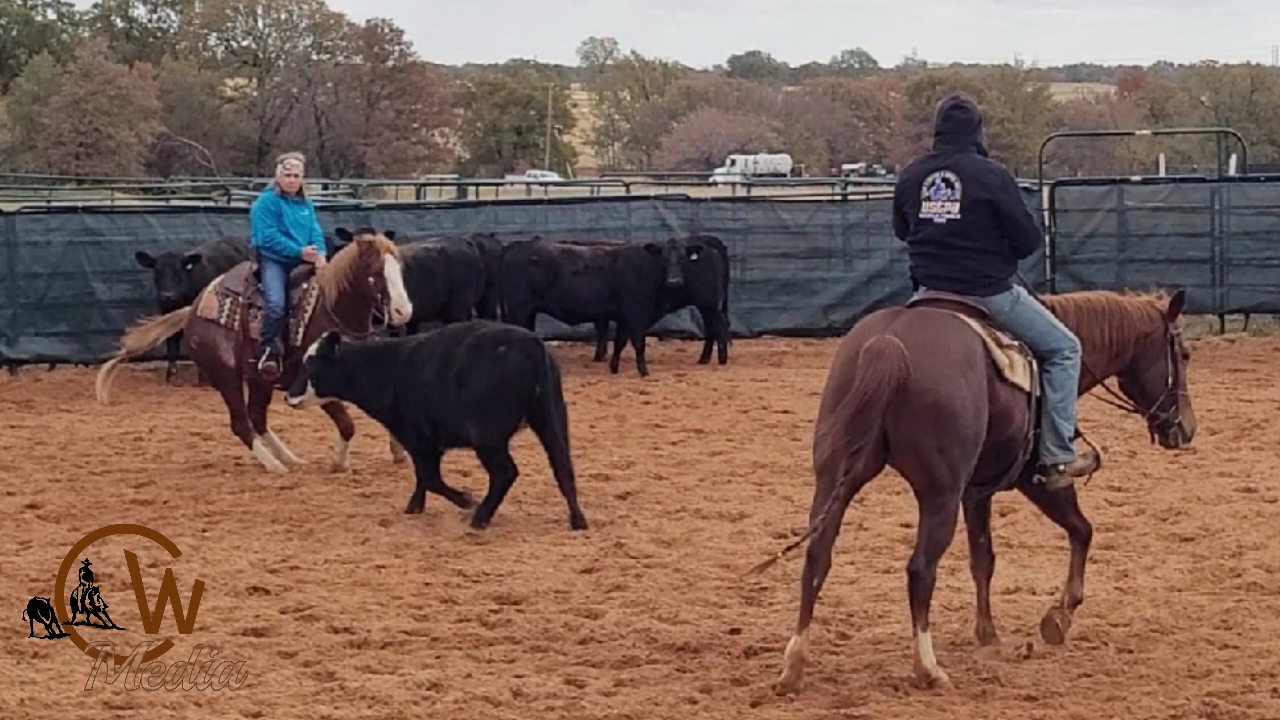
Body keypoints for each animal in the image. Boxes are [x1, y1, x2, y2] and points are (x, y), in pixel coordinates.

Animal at [134, 237, 252, 383]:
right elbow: (172, 344)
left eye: (179, 272)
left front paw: (203, 378)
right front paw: (171, 376)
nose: (167, 295)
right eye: (157, 271)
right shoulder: (167, 314)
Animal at [283, 321, 589, 531]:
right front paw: (414, 507)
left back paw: (480, 517)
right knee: (563, 468)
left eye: (311, 364)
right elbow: (424, 477)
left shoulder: (419, 439)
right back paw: (578, 520)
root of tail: (531, 344)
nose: (289, 396)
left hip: (488, 439)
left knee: (505, 473)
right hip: (552, 421)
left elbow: (430, 477)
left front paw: (466, 500)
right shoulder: (426, 444)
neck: (389, 368)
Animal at [749, 287, 1195, 693]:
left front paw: (989, 636)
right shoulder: (1036, 480)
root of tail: (889, 343)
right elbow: (1082, 531)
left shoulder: (977, 491)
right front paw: (1060, 614)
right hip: (939, 494)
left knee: (816, 557)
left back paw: (794, 667)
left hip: (835, 478)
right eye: (1185, 355)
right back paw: (928, 669)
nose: (1187, 428)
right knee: (920, 569)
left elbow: (983, 559)